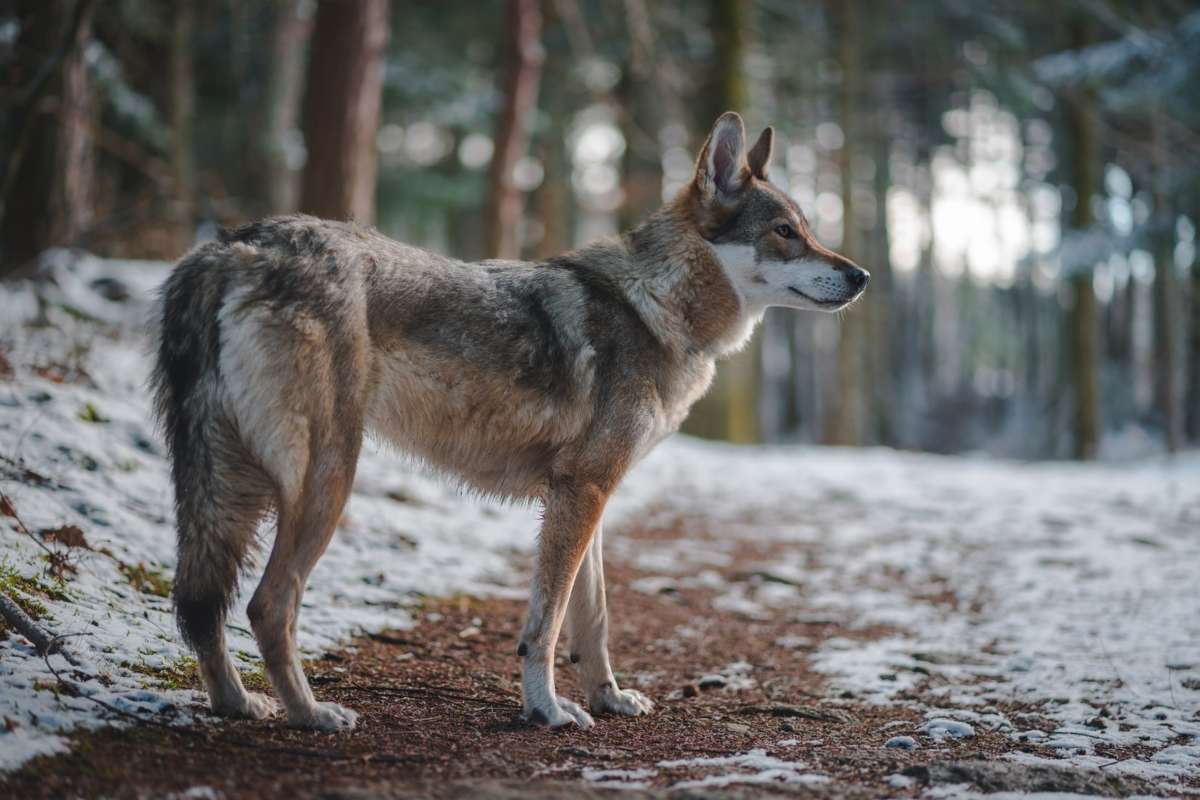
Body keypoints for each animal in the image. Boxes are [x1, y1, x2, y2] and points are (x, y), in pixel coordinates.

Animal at [152, 112, 868, 731]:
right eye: (785, 232)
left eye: (807, 228)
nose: (861, 275)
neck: (655, 308)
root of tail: (233, 245)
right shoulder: (581, 493)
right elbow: (545, 626)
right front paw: (546, 711)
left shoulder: (589, 496)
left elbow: (593, 619)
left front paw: (608, 699)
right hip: (325, 480)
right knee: (267, 606)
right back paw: (311, 714)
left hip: (229, 487)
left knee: (201, 606)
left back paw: (238, 705)